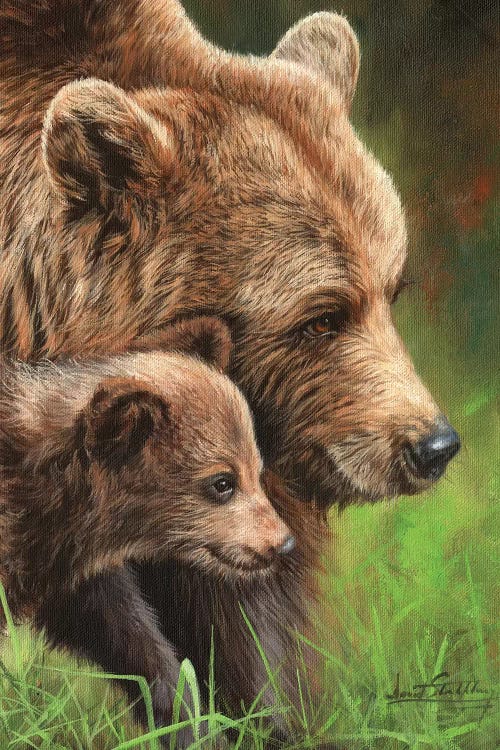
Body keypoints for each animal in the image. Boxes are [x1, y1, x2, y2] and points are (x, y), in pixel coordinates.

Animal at [0, 316, 294, 746]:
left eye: (256, 470)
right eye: (222, 482)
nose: (282, 542)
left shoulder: (75, 579)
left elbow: (135, 641)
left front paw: (192, 727)